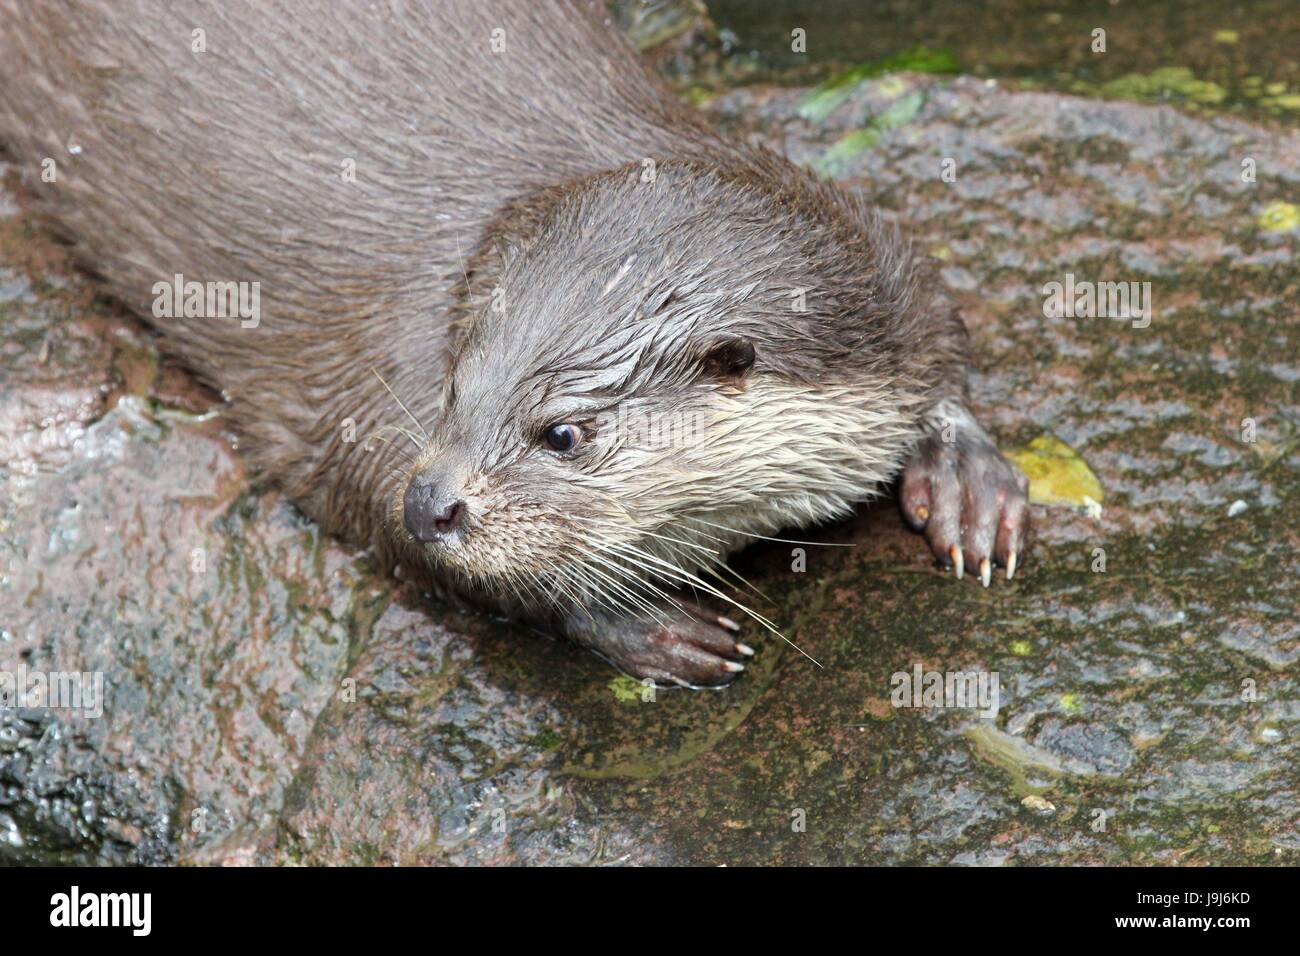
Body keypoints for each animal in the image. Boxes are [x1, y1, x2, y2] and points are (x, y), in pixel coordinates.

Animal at [0, 0, 1029, 686]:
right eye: (456, 393)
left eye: (563, 433)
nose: (434, 504)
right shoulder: (368, 391)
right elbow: (370, 504)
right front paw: (642, 623)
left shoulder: (885, 266)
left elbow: (942, 339)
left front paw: (969, 486)